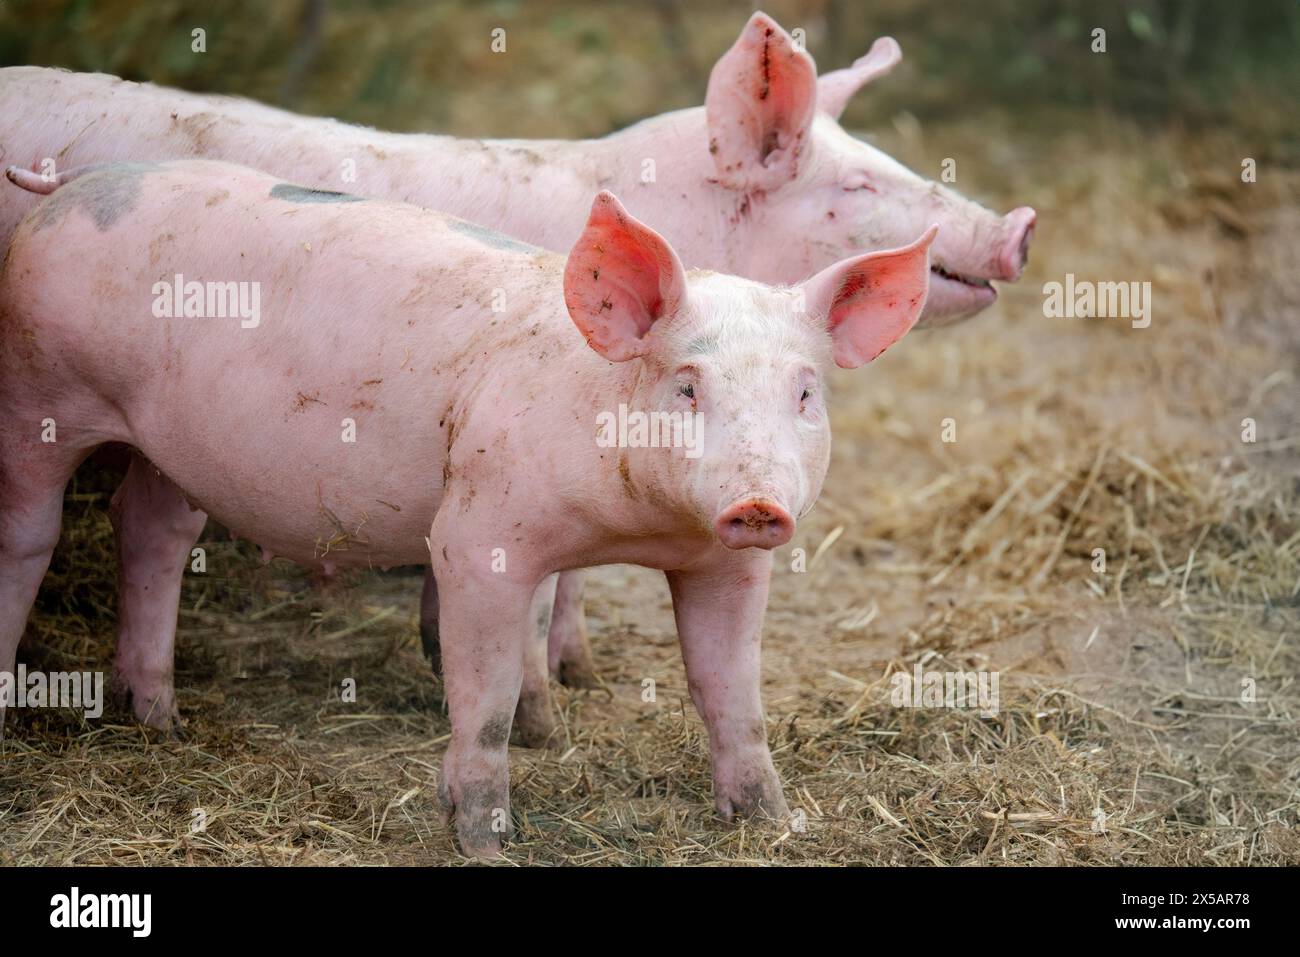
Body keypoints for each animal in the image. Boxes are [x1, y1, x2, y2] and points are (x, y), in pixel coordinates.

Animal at [0, 159, 934, 855]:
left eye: (805, 391)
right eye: (687, 385)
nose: (759, 502)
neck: (631, 527)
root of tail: (79, 183)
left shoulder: (725, 565)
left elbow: (729, 690)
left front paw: (771, 821)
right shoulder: (476, 533)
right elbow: (483, 694)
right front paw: (486, 838)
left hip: (171, 445)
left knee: (151, 529)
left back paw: (162, 722)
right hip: (39, 388)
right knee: (31, 530)